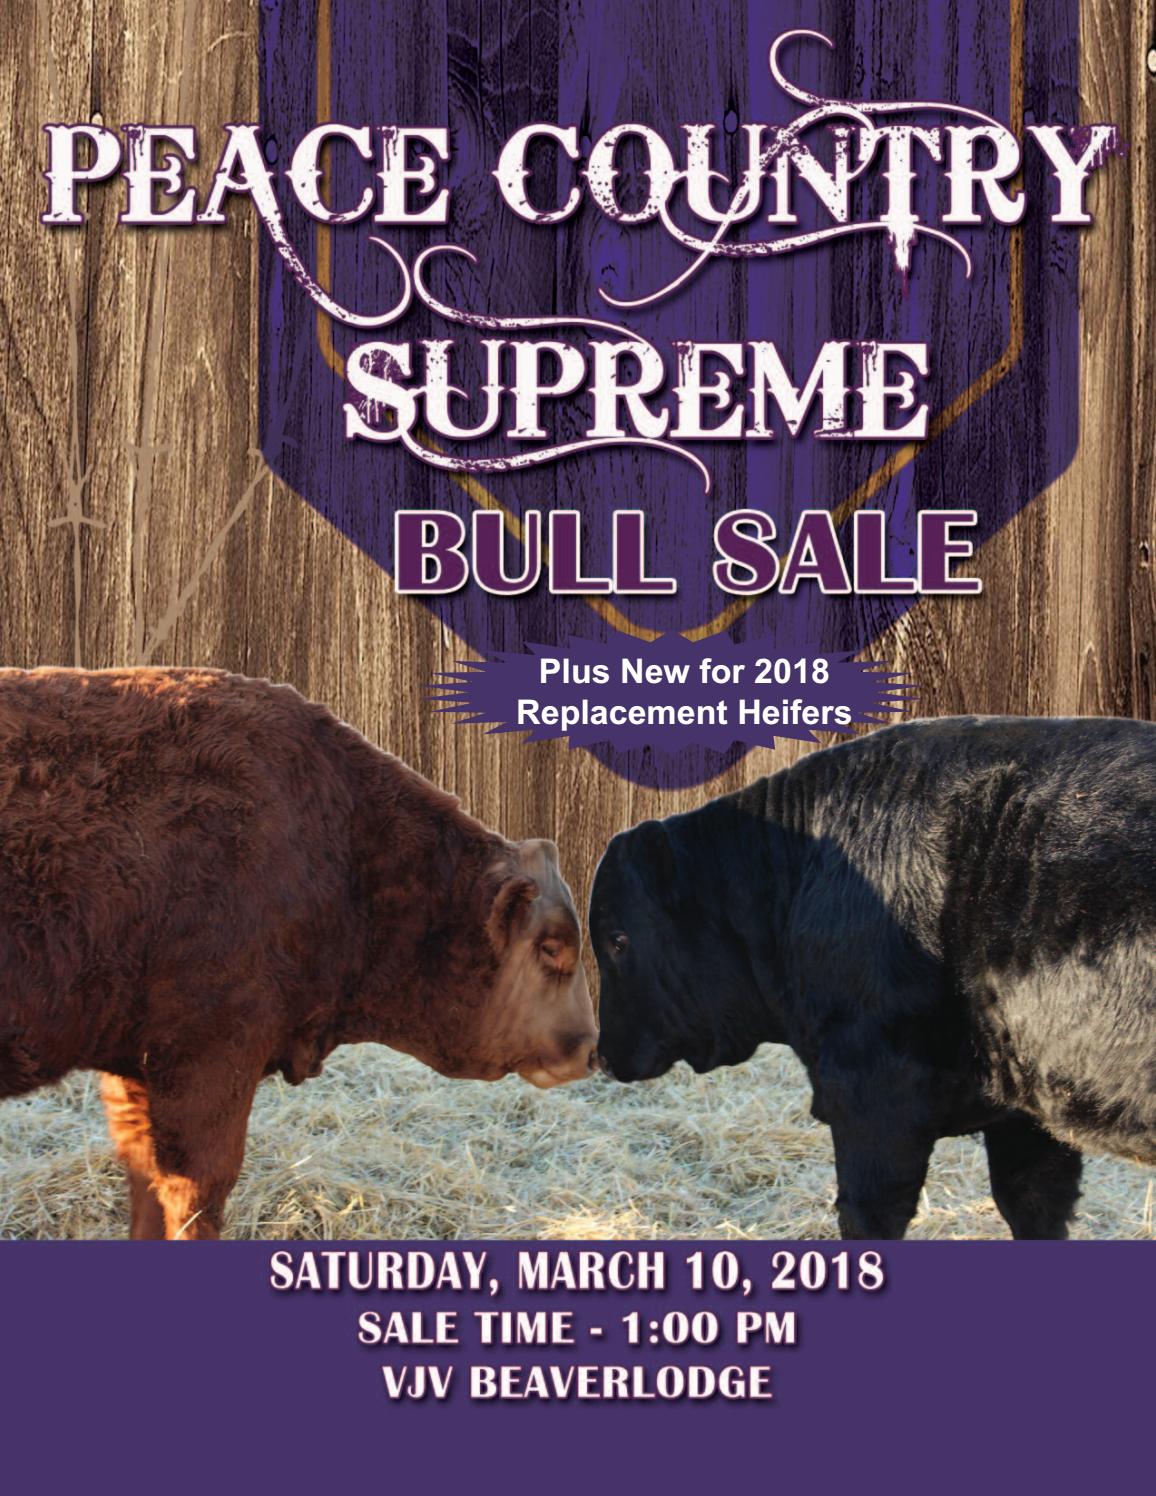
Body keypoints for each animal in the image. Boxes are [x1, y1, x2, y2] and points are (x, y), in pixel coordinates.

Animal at [0, 667, 597, 1239]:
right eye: (551, 947)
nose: (590, 1049)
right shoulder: (208, 1056)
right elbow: (194, 1194)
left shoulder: (135, 1064)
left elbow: (145, 1186)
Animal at [591, 716, 1156, 1239]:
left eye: (618, 940)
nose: (601, 1056)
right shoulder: (1025, 1112)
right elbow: (1032, 1202)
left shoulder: (874, 1091)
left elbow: (870, 1214)